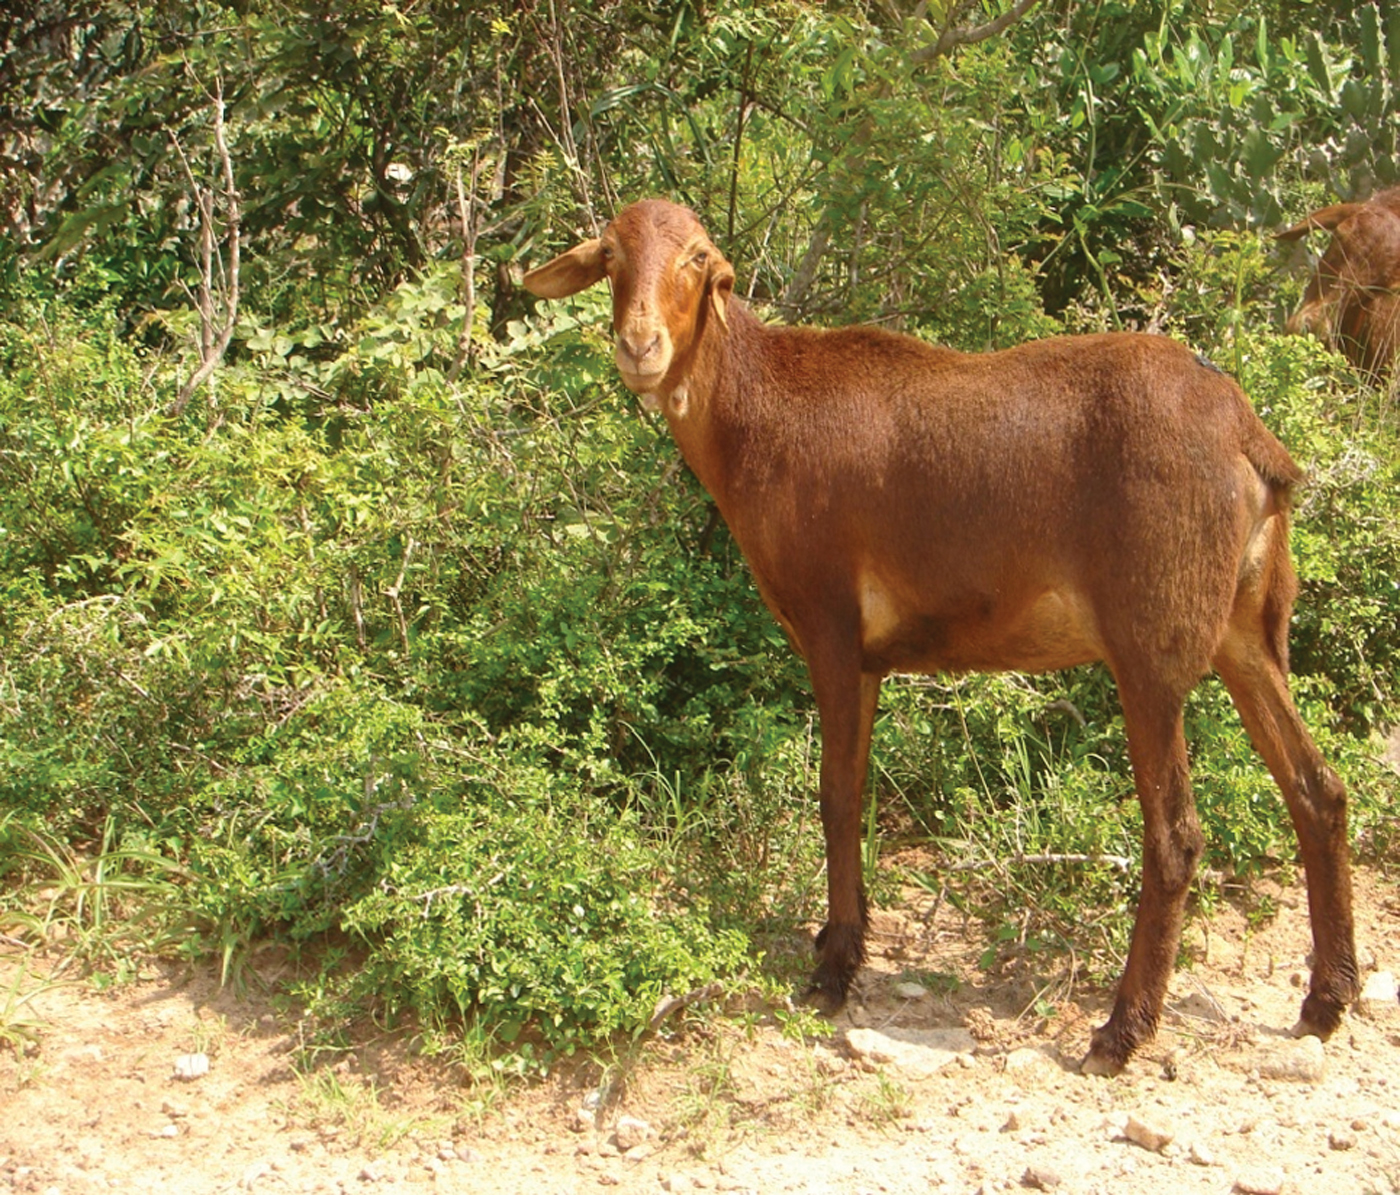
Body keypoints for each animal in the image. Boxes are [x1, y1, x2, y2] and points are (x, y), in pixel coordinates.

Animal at [523, 198, 1358, 1076]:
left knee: (1176, 837)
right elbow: (852, 791)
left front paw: (833, 969)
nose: (639, 346)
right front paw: (841, 940)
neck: (760, 411)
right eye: (611, 256)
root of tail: (1252, 441)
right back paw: (1327, 998)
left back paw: (1121, 1030)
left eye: (697, 259)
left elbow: (837, 793)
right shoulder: (869, 654)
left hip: (1153, 642)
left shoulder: (830, 624)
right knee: (1319, 789)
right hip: (1248, 628)